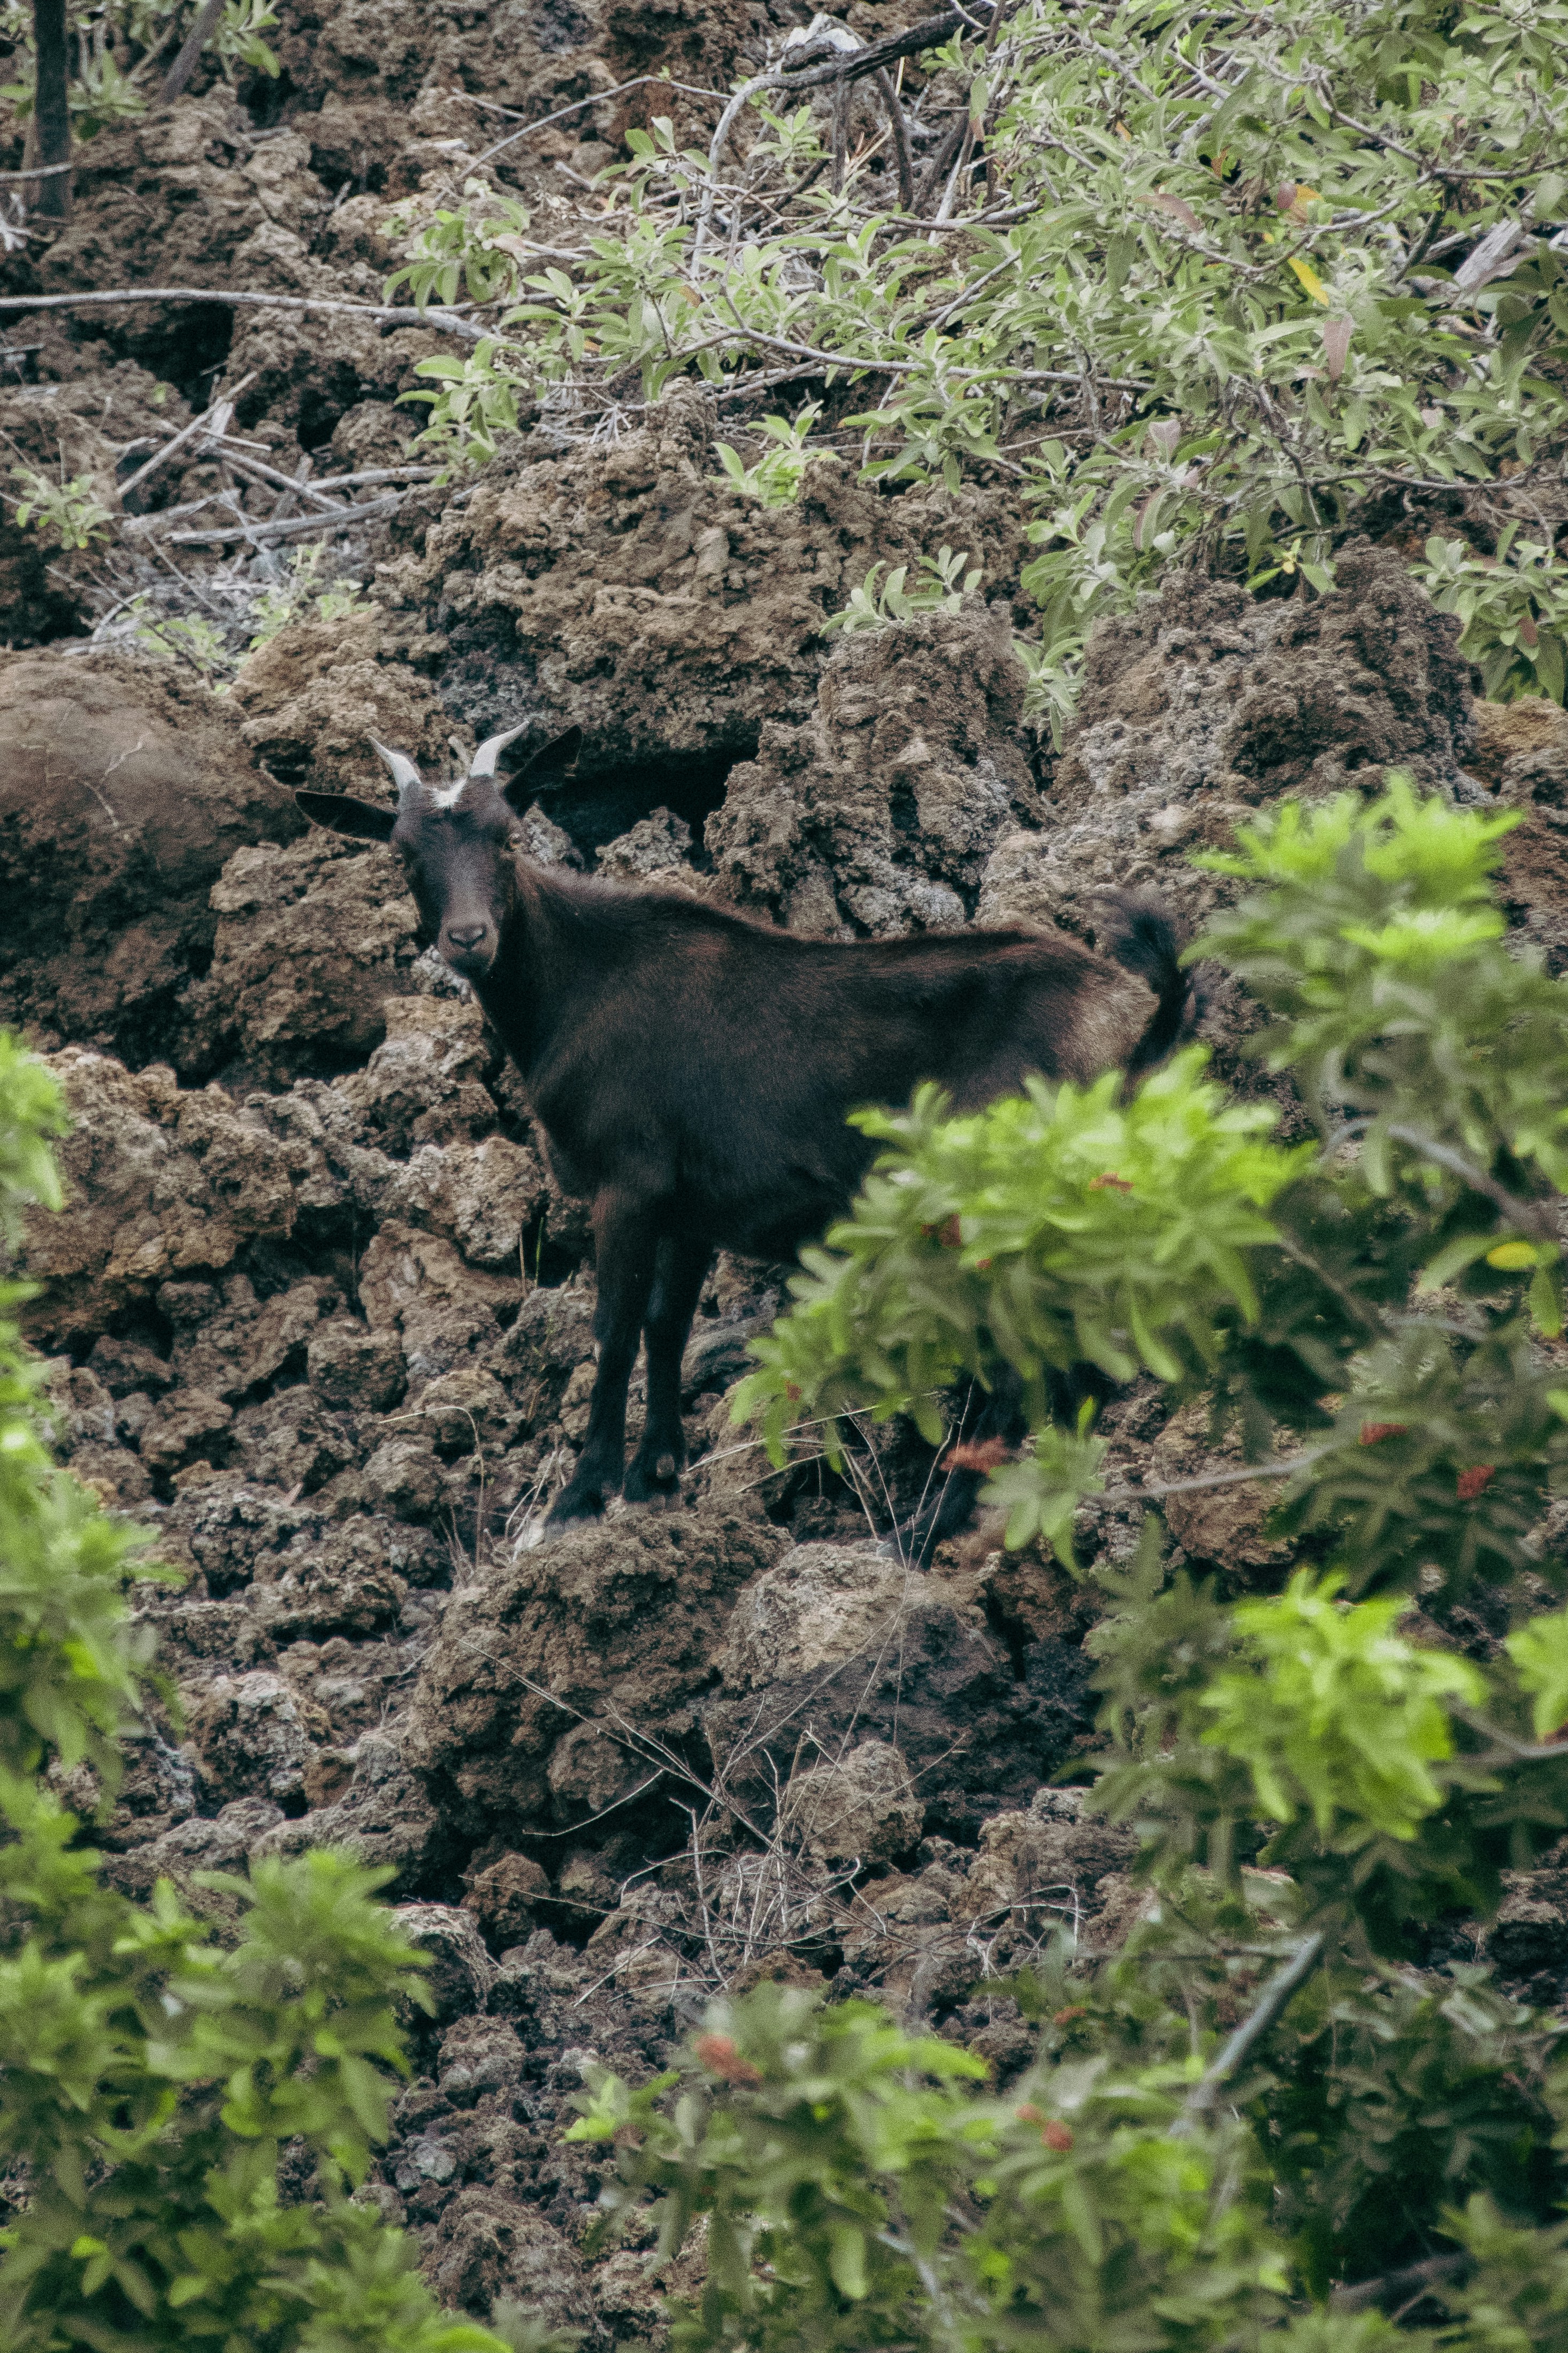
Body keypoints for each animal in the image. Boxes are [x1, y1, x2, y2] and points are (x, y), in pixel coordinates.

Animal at [297, 725, 1195, 1538]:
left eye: (507, 834)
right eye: (402, 853)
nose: (467, 939)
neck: (579, 983)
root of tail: (1136, 1019)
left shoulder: (628, 1184)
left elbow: (613, 1331)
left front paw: (577, 1500)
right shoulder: (691, 1206)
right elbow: (665, 1328)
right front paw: (654, 1479)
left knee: (1027, 1353)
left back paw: (930, 1527)